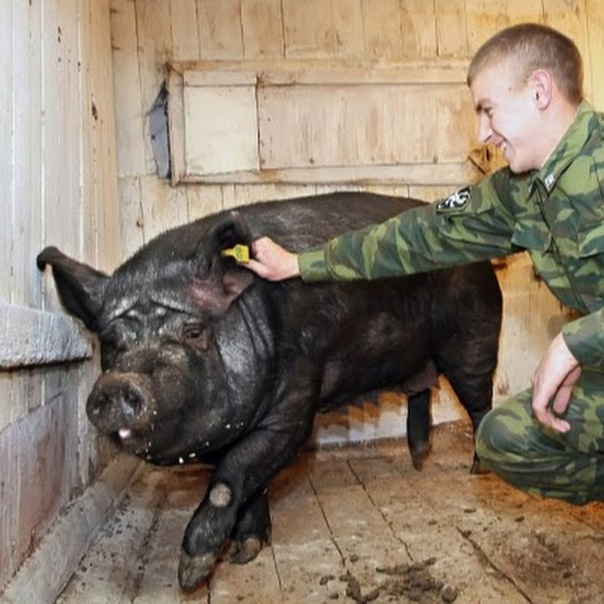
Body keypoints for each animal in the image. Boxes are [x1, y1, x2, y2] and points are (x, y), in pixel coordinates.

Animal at [35, 192, 502, 588]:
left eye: (194, 331)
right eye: (113, 343)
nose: (119, 383)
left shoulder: (293, 405)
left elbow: (233, 474)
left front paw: (191, 573)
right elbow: (251, 480)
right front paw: (247, 551)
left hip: (475, 338)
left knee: (480, 404)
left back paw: (478, 469)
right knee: (420, 391)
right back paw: (419, 459)